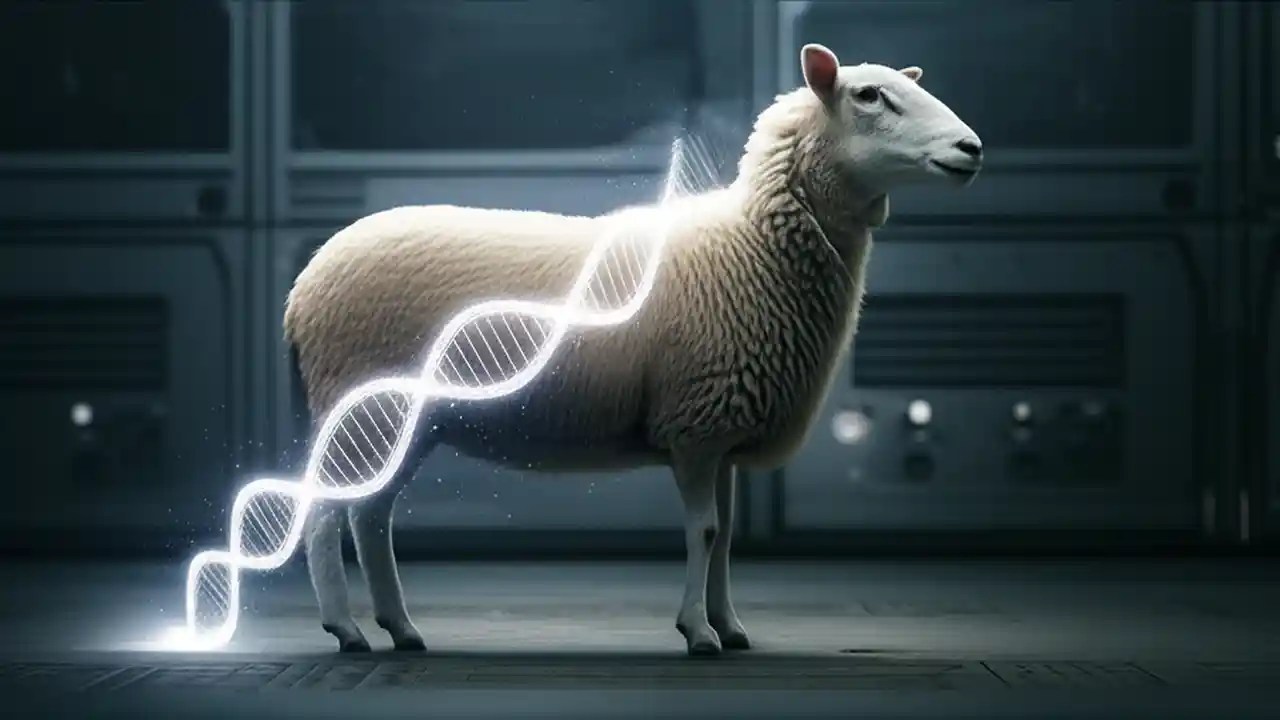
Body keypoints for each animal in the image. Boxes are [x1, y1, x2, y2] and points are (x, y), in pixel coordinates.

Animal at [283, 43, 982, 656]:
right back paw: (346, 630)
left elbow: (726, 535)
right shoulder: (696, 425)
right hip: (361, 405)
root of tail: (305, 284)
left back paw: (400, 630)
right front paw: (697, 633)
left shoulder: (722, 427)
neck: (749, 248)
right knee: (325, 513)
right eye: (869, 96)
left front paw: (730, 627)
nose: (972, 148)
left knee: (371, 516)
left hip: (403, 423)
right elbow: (704, 531)